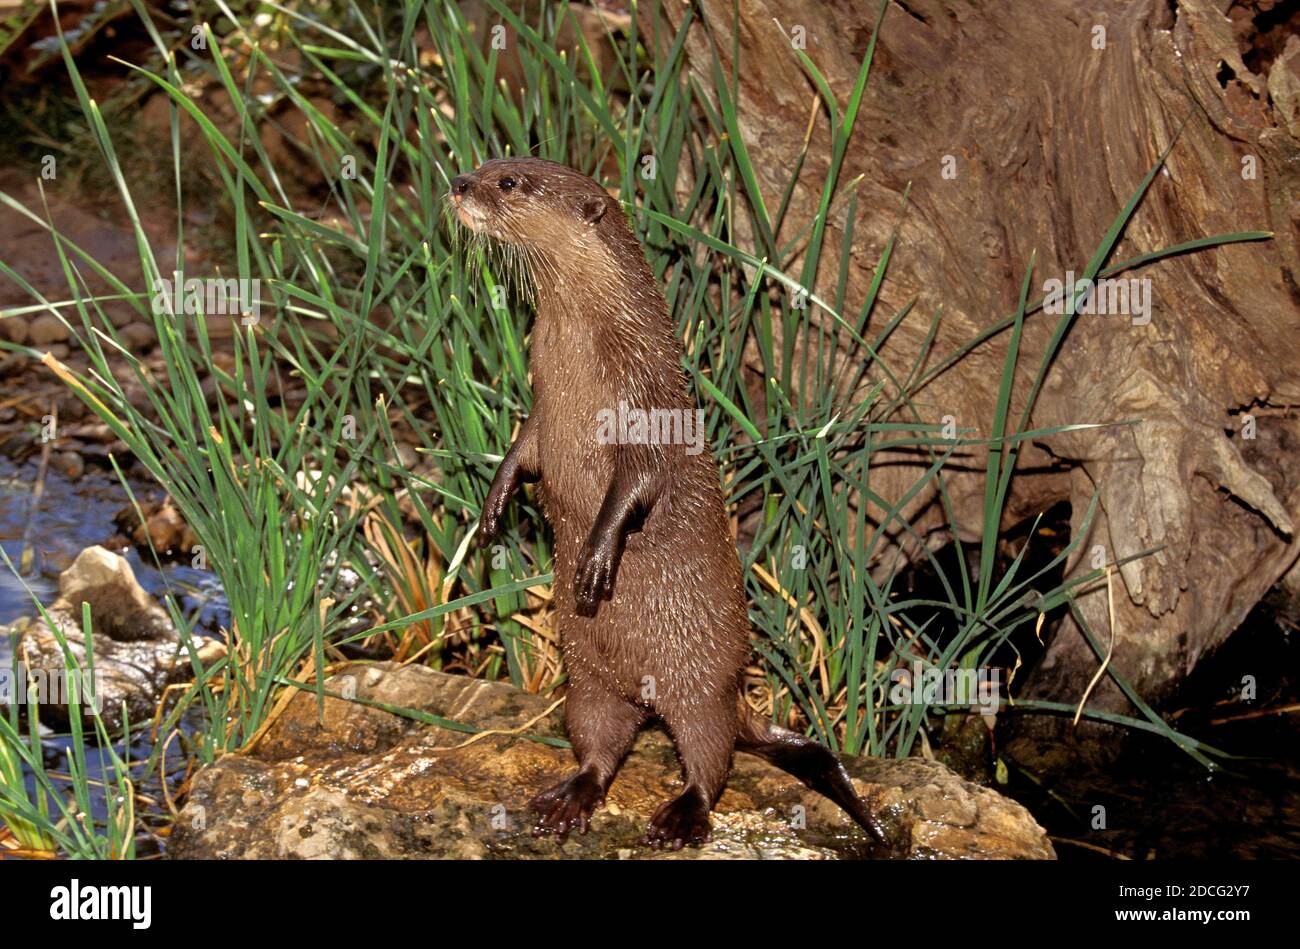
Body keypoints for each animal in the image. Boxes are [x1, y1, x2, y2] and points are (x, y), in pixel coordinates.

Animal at [450, 156, 886, 850]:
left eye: (511, 182)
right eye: (490, 163)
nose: (459, 184)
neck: (588, 344)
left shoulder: (649, 406)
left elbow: (639, 482)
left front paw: (598, 557)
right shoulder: (542, 407)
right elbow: (522, 452)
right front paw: (492, 510)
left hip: (701, 684)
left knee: (711, 754)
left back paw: (681, 816)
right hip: (588, 683)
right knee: (601, 745)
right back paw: (570, 798)